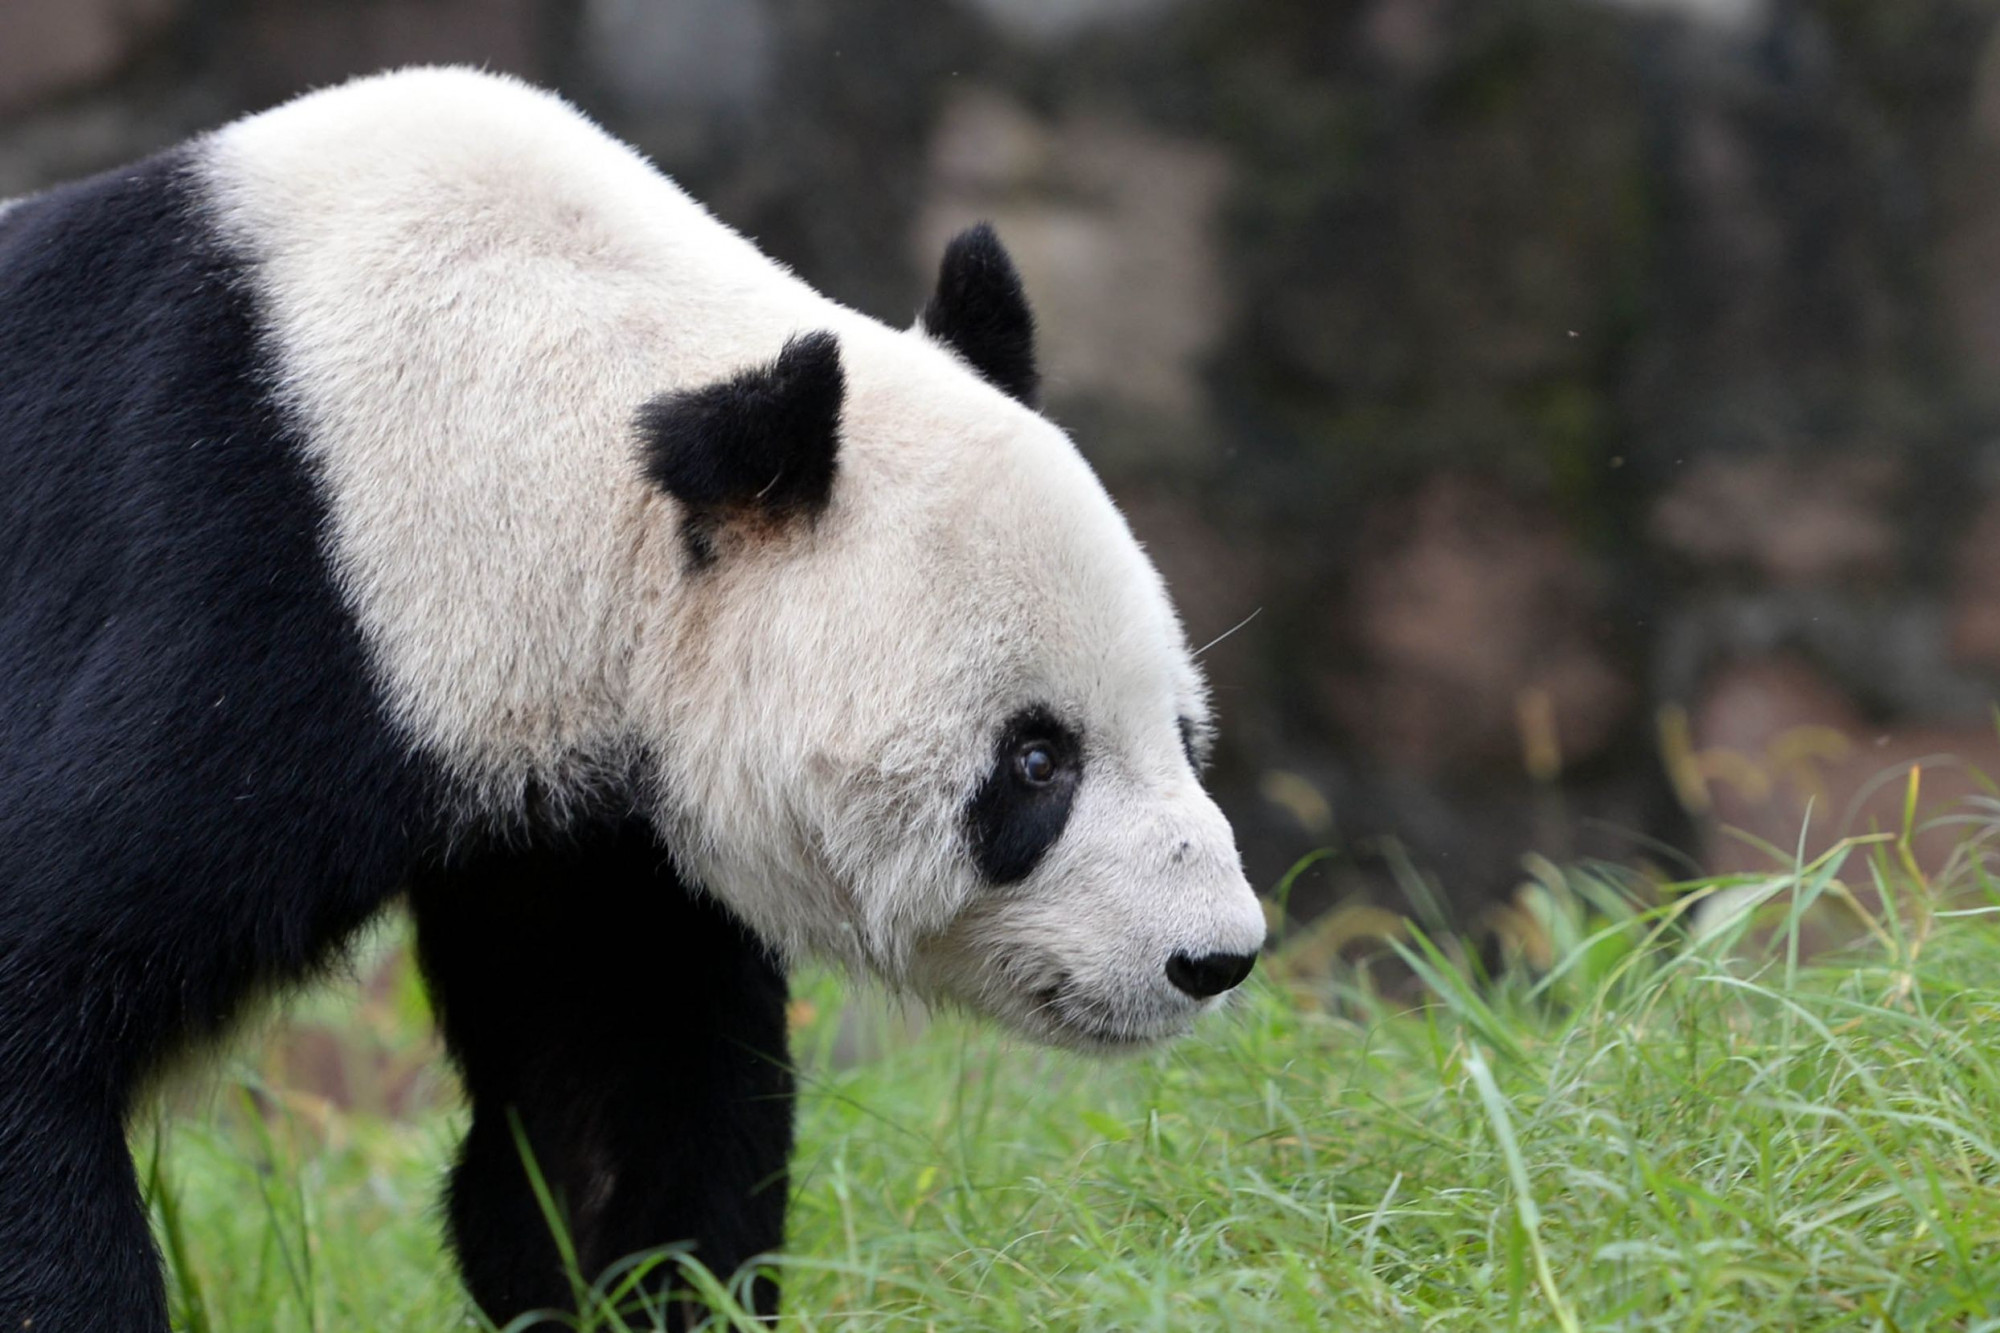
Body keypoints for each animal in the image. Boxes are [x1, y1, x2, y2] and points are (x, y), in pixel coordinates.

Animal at [0, 67, 1266, 1330]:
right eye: (1036, 761)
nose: (1214, 957)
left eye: (1182, 733)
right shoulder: (259, 602)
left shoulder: (578, 818)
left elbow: (616, 1098)